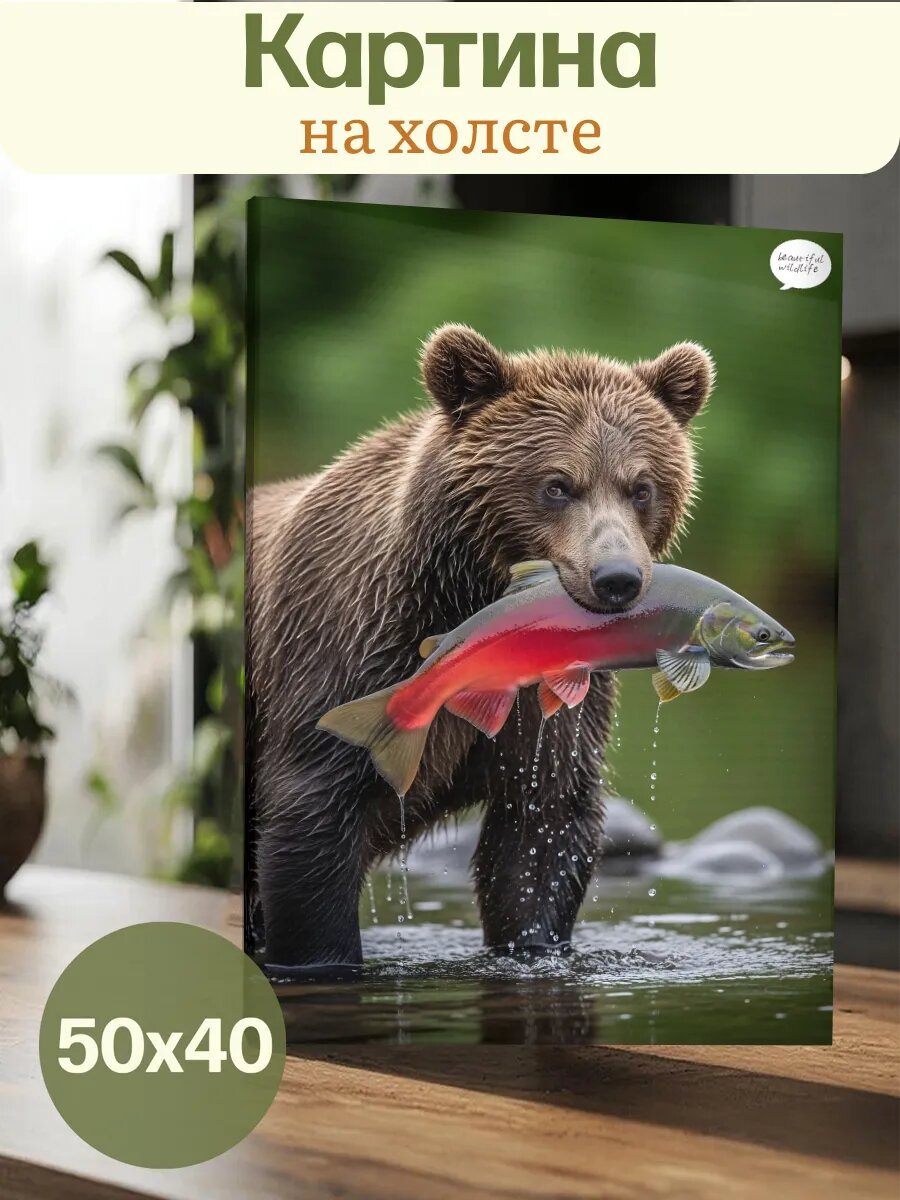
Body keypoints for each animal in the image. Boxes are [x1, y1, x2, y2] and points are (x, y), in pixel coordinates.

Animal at [247, 325, 714, 972]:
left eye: (641, 487)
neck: (472, 600)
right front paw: (322, 956)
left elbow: (541, 825)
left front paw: (533, 942)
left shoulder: (550, 705)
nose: (616, 578)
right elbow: (311, 816)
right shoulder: (344, 646)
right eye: (556, 485)